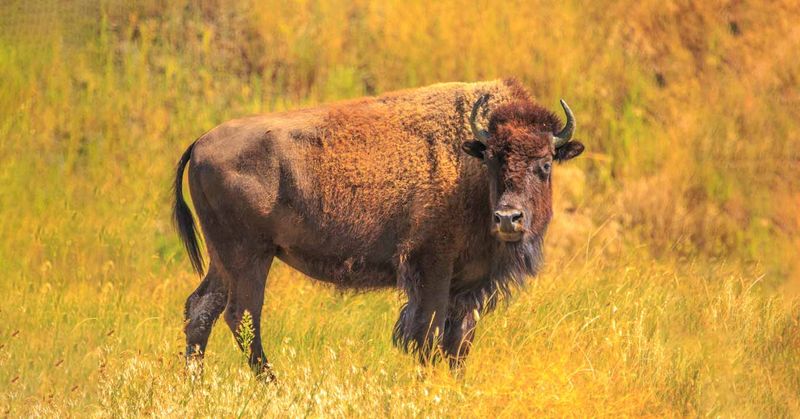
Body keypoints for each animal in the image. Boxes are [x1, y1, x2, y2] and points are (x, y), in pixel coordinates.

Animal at [173, 79, 585, 379]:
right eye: (494, 159)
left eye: (545, 163)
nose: (508, 218)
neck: (469, 163)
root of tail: (200, 143)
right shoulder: (431, 268)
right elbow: (428, 334)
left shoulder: (469, 285)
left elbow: (459, 340)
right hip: (250, 256)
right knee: (241, 315)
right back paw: (272, 383)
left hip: (224, 259)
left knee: (202, 309)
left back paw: (196, 384)